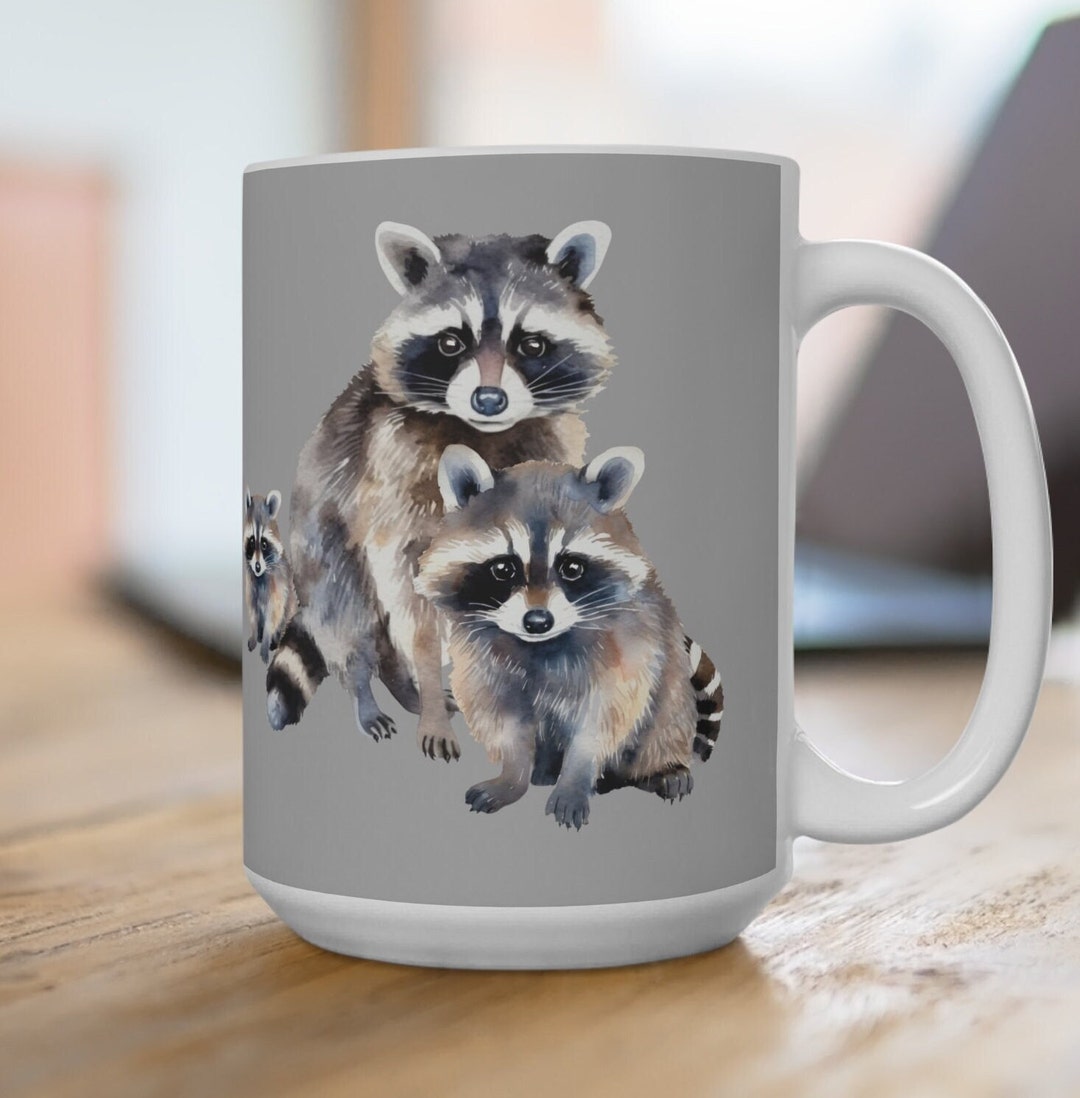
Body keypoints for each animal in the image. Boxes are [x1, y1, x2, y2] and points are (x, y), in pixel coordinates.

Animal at [244, 488, 297, 664]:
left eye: (264, 544)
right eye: (251, 542)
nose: (257, 566)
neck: (261, 575)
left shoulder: (278, 586)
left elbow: (273, 615)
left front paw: (266, 642)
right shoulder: (250, 585)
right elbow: (253, 612)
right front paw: (254, 636)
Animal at [266, 221, 617, 759]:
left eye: (531, 345)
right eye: (452, 342)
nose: (489, 399)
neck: (485, 433)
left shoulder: (550, 452)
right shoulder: (394, 478)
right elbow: (416, 616)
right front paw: (430, 691)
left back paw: (402, 685)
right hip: (324, 544)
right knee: (350, 618)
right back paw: (371, 688)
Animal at [415, 445, 725, 830]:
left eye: (572, 567)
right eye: (503, 568)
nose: (537, 621)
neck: (541, 646)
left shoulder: (628, 647)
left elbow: (603, 719)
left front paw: (575, 781)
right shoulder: (483, 660)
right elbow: (504, 719)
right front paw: (513, 777)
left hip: (670, 685)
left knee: (666, 716)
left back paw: (664, 768)